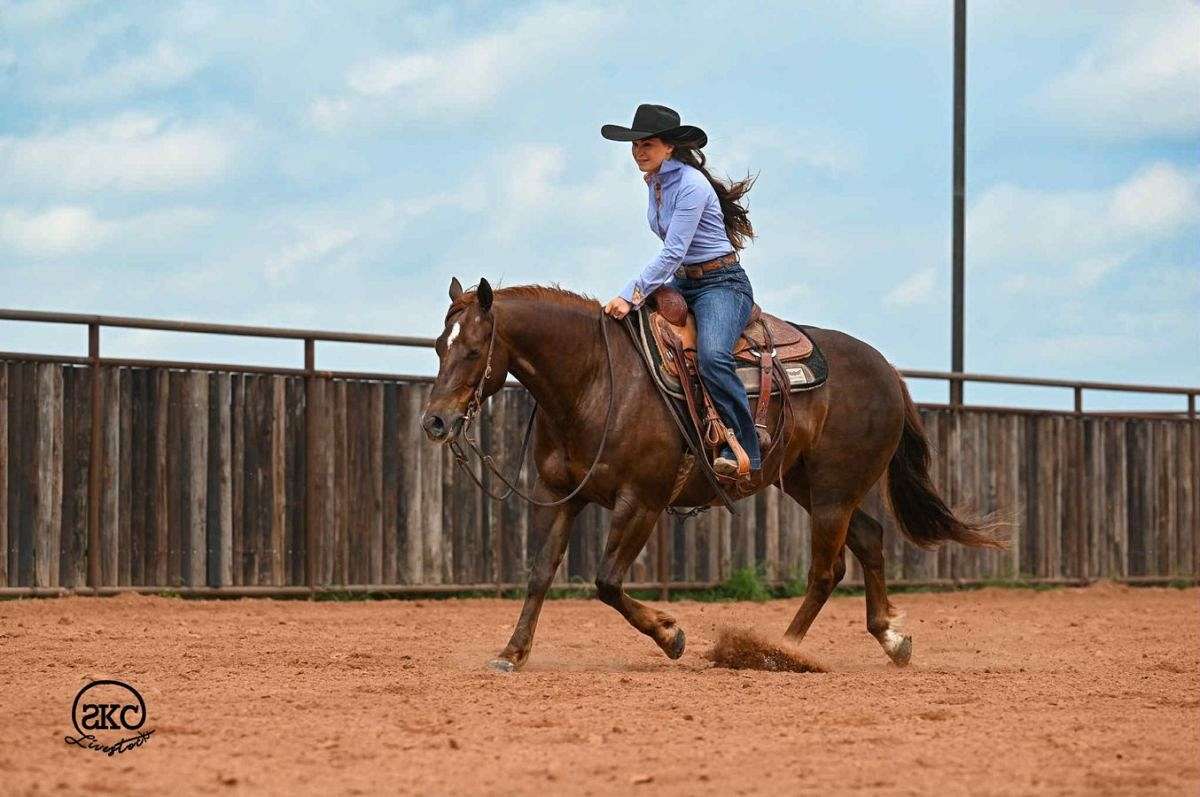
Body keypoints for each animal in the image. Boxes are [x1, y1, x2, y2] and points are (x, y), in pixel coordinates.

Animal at [421, 277, 1002, 672]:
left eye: (472, 349)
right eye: (439, 345)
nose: (435, 421)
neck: (596, 380)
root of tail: (888, 371)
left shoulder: (643, 500)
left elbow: (607, 581)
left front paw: (671, 635)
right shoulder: (563, 495)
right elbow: (542, 572)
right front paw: (512, 652)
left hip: (835, 491)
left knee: (825, 570)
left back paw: (779, 650)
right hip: (810, 485)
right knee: (869, 539)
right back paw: (889, 638)